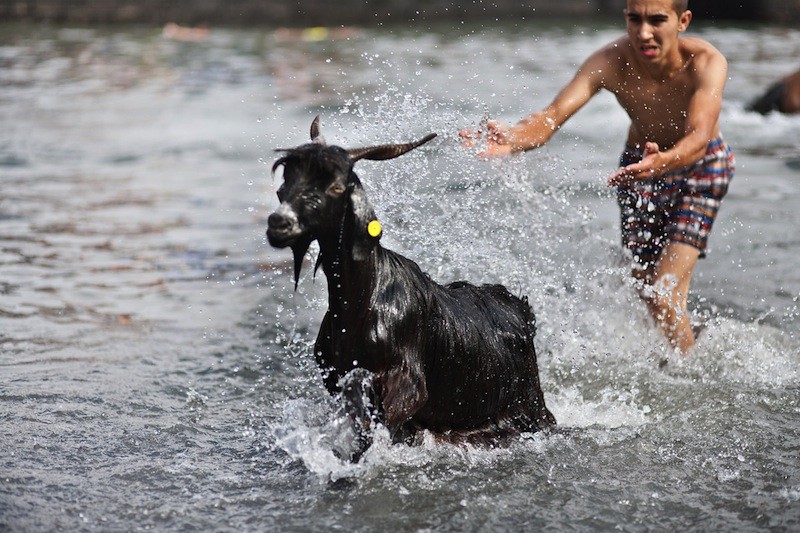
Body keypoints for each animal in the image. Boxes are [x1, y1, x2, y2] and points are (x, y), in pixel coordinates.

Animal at [267, 117, 555, 461]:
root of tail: (521, 309)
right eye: (284, 184)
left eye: (335, 186)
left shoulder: (405, 387)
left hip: (530, 407)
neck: (362, 299)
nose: (278, 224)